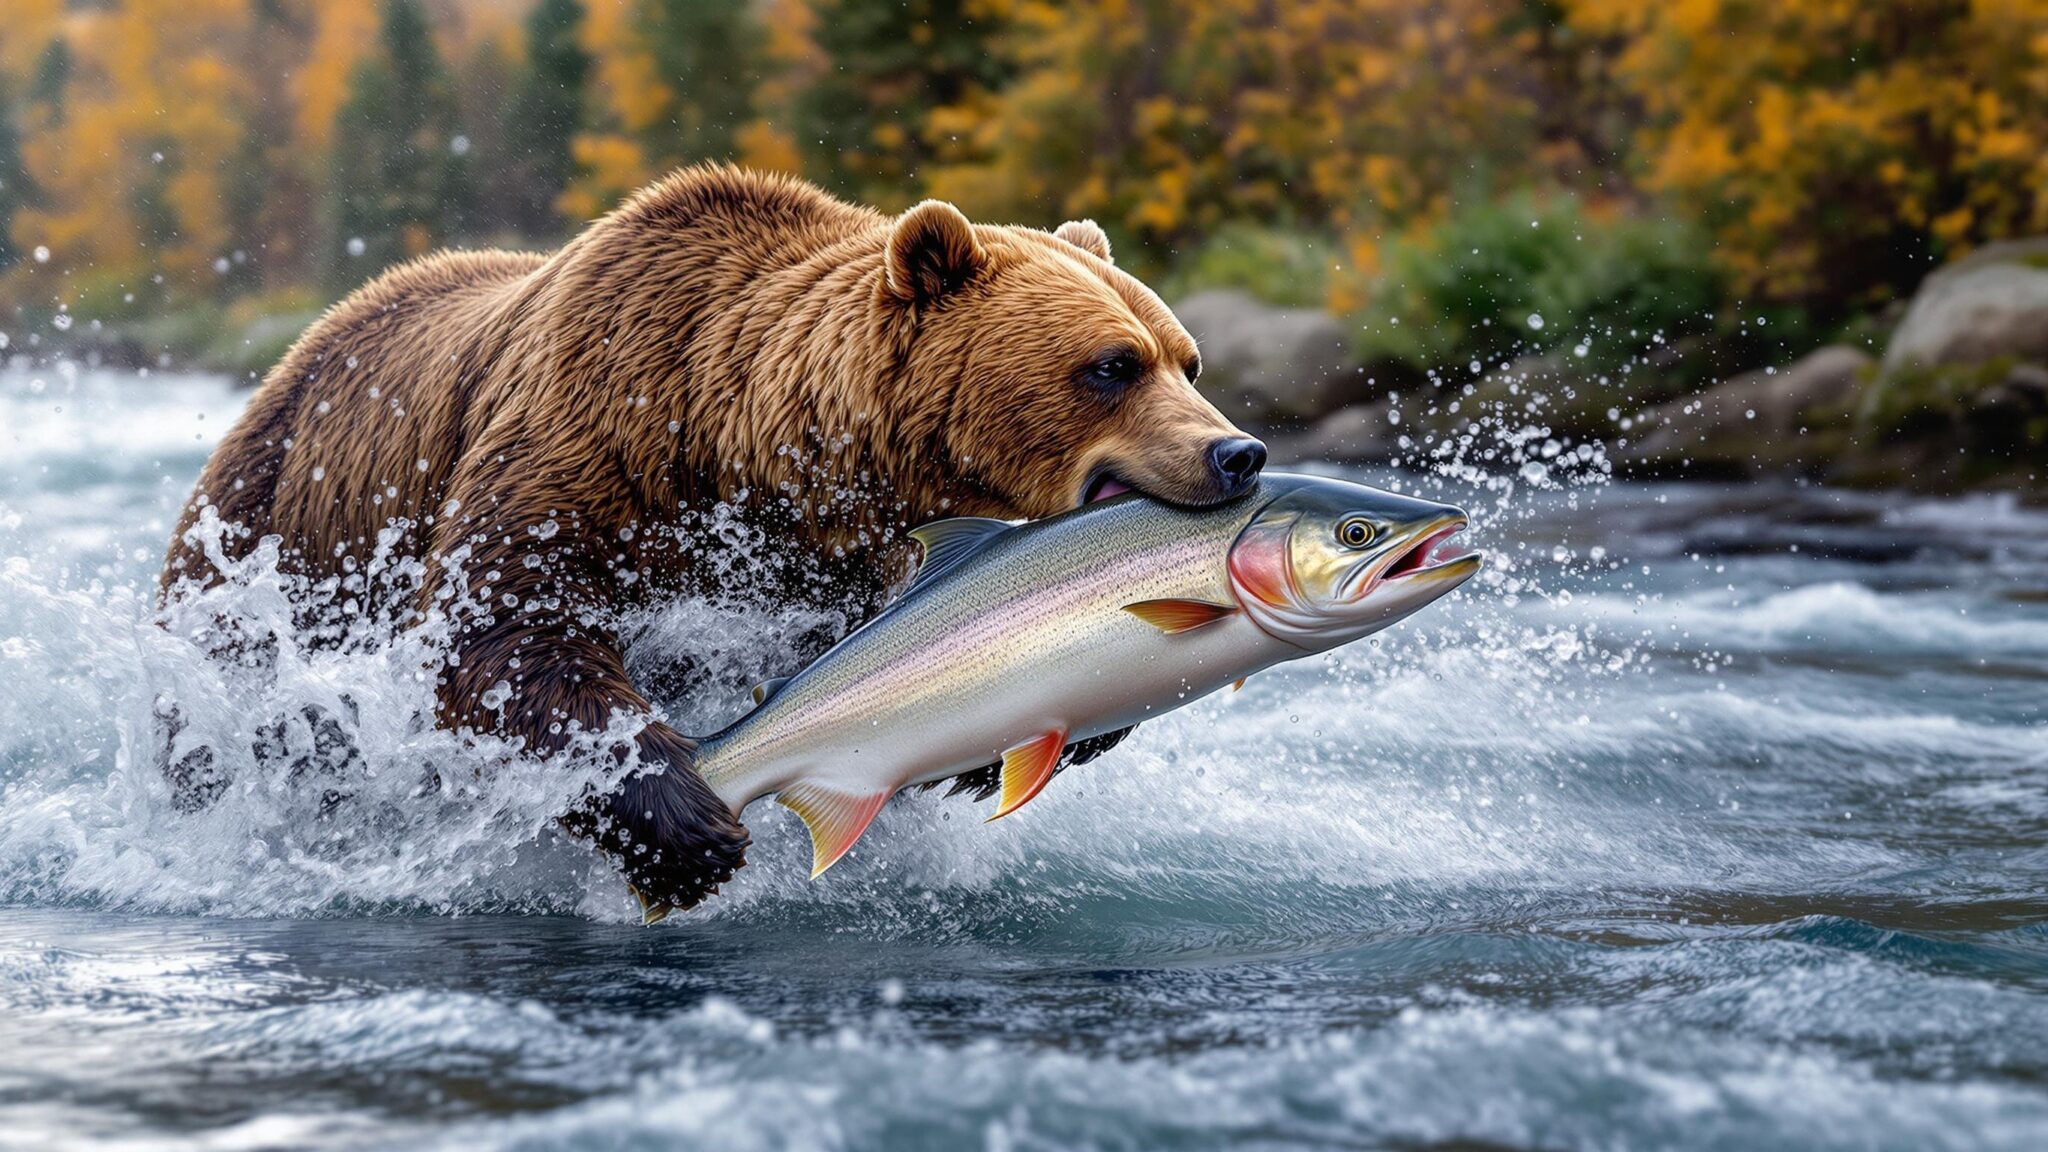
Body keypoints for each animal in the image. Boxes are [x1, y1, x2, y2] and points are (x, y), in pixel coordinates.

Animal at [159, 165, 1265, 913]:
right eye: (1111, 365)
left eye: (1187, 357)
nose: (1237, 453)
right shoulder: (590, 443)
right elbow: (508, 629)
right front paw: (684, 821)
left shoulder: (832, 569)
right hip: (264, 543)